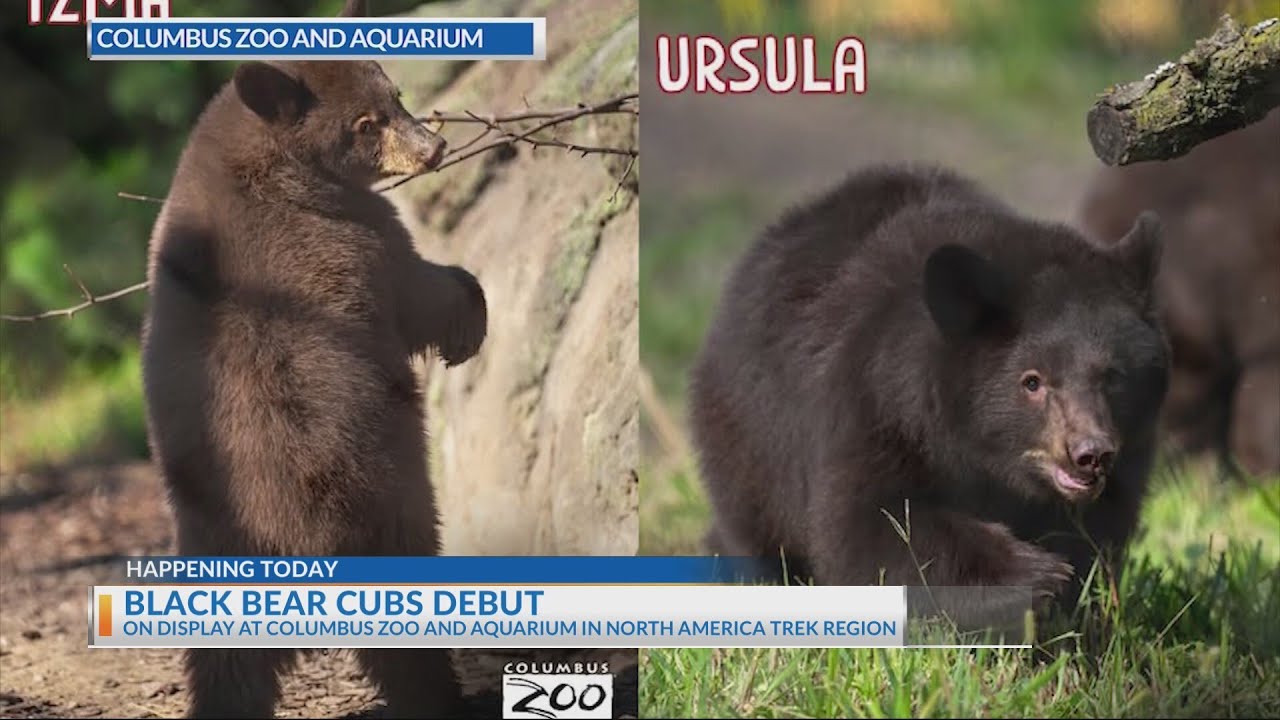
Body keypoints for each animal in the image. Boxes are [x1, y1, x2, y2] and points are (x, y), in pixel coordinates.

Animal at [139, 2, 483, 717]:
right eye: (365, 122)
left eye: (395, 94)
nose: (433, 148)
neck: (264, 163)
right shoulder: (358, 232)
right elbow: (416, 289)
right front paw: (468, 321)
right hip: (383, 505)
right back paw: (444, 696)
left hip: (214, 550)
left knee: (227, 666)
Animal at [689, 165, 1169, 600]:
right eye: (1032, 381)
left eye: (1113, 375)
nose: (1089, 453)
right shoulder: (874, 405)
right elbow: (868, 524)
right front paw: (1034, 573)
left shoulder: (1128, 460)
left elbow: (1097, 532)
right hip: (750, 439)